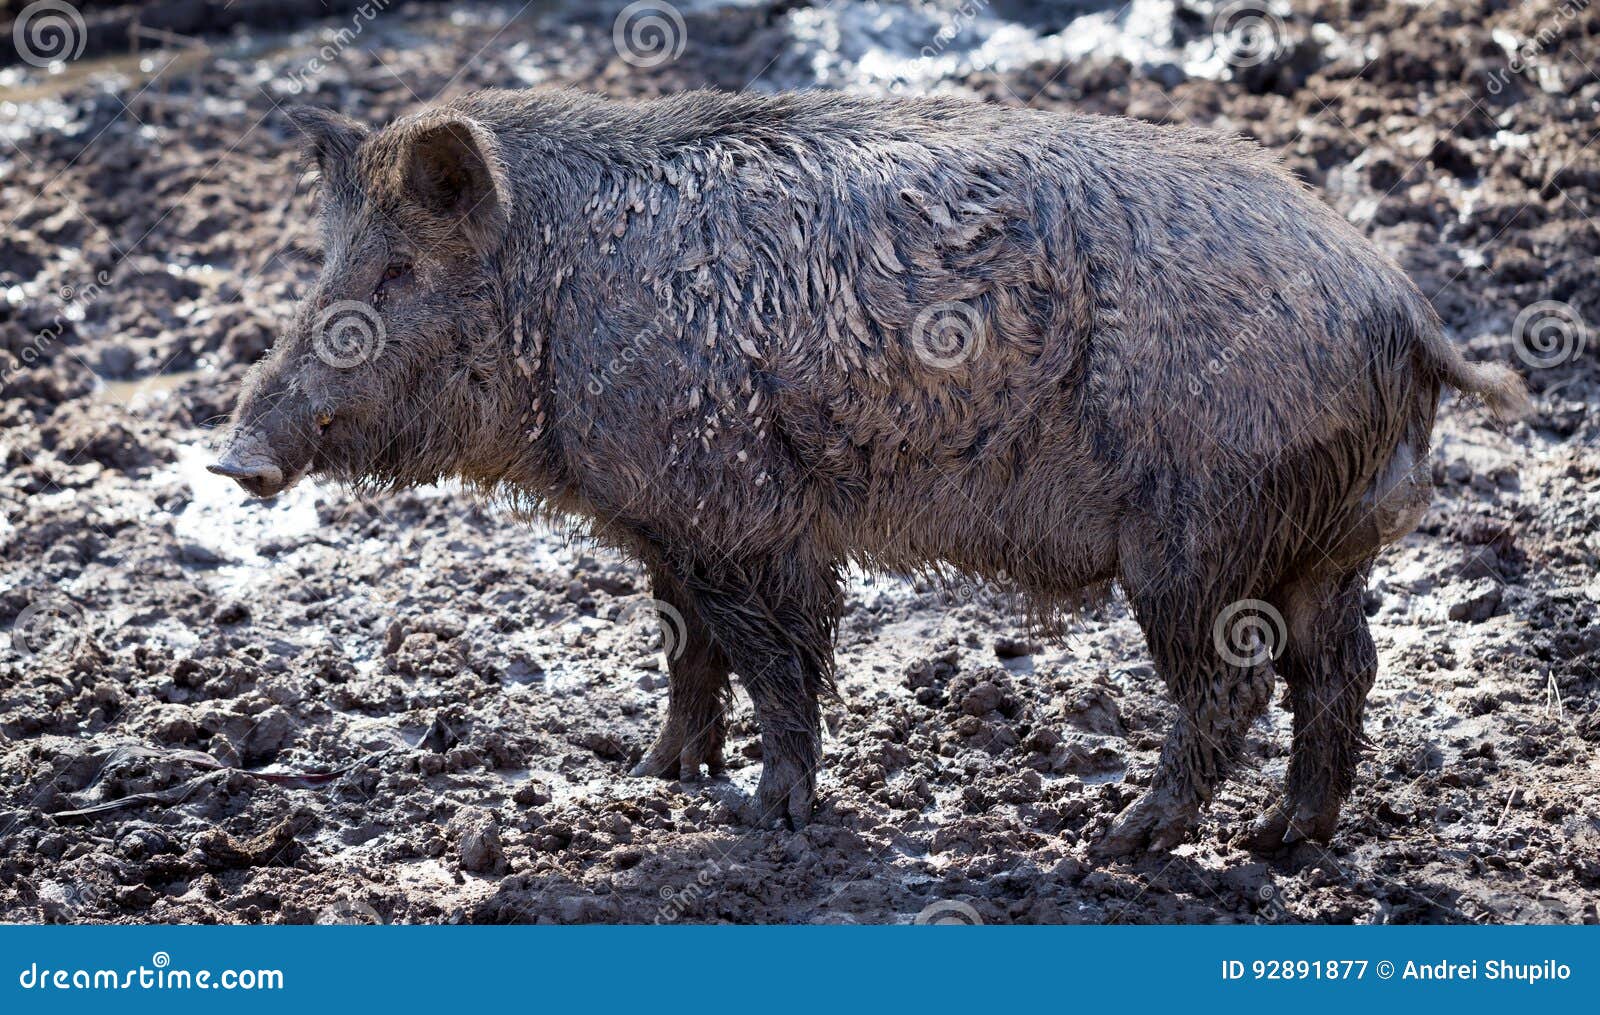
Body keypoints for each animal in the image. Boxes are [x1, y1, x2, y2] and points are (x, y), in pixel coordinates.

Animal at [211, 88, 1527, 854]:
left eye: (394, 275)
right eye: (330, 261)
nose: (233, 458)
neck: (556, 288)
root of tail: (1404, 311)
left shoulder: (741, 508)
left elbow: (776, 659)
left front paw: (770, 817)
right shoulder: (664, 519)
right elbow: (685, 645)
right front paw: (658, 772)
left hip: (1197, 542)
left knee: (1234, 686)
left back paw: (1119, 842)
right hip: (1317, 544)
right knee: (1343, 670)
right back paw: (1282, 841)